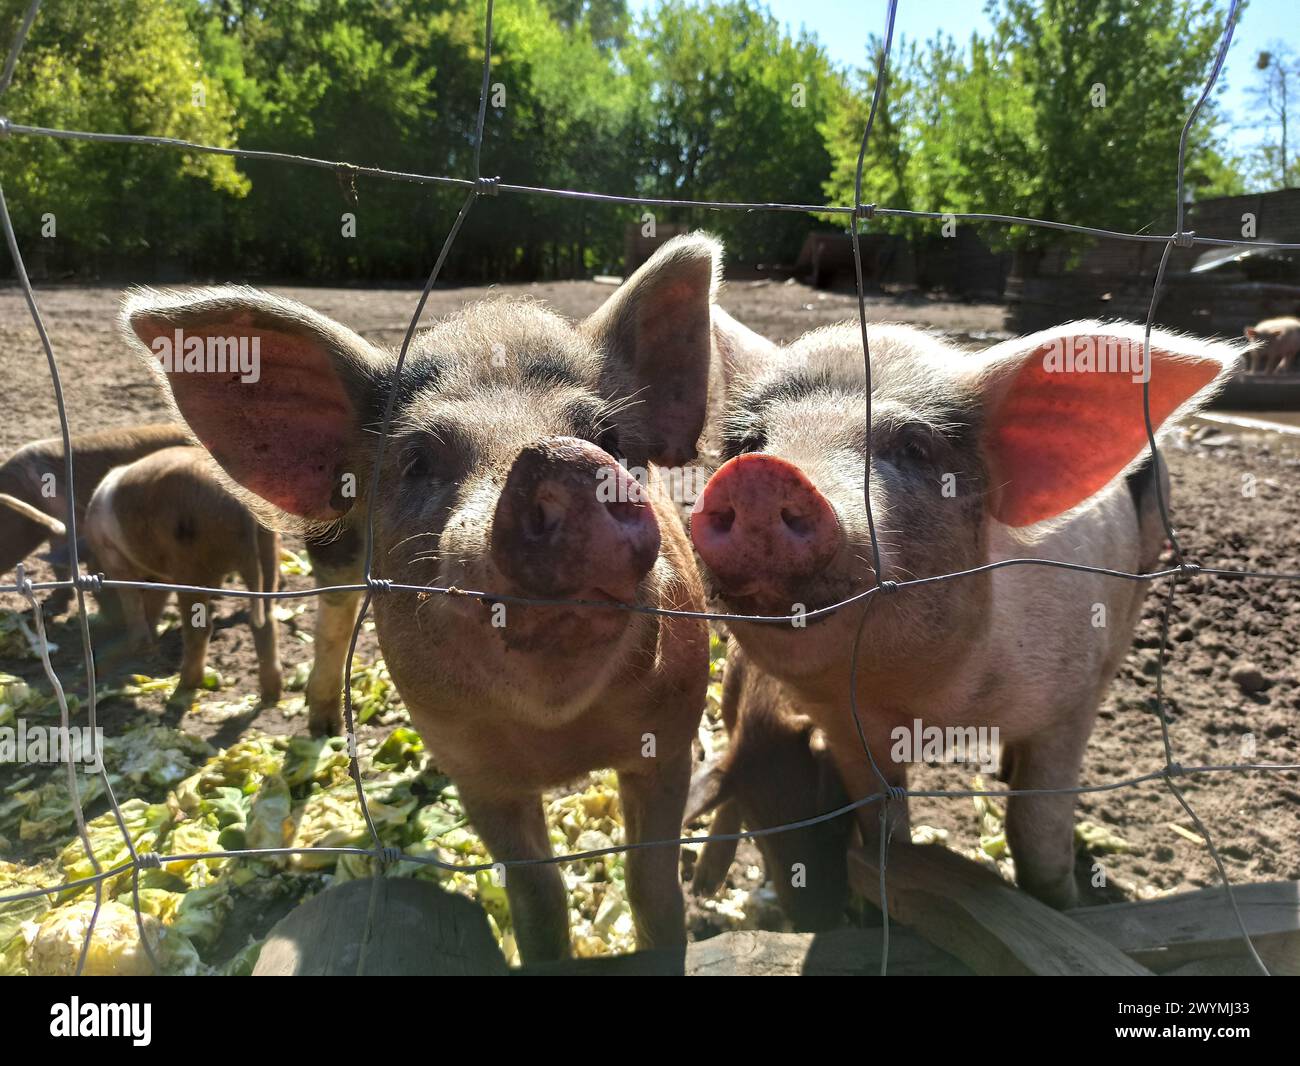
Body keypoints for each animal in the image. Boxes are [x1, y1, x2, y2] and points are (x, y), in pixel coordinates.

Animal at [84, 445, 282, 703]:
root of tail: (242, 505)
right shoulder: (162, 576)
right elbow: (152, 603)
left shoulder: (117, 561)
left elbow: (133, 603)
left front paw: (136, 646)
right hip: (268, 547)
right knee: (265, 619)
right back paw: (271, 695)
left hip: (191, 565)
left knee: (200, 629)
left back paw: (181, 691)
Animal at [117, 234, 730, 963]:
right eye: (418, 460)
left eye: (607, 440)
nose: (562, 460)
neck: (560, 737)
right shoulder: (477, 773)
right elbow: (537, 896)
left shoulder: (670, 736)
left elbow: (651, 882)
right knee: (332, 614)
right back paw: (319, 724)